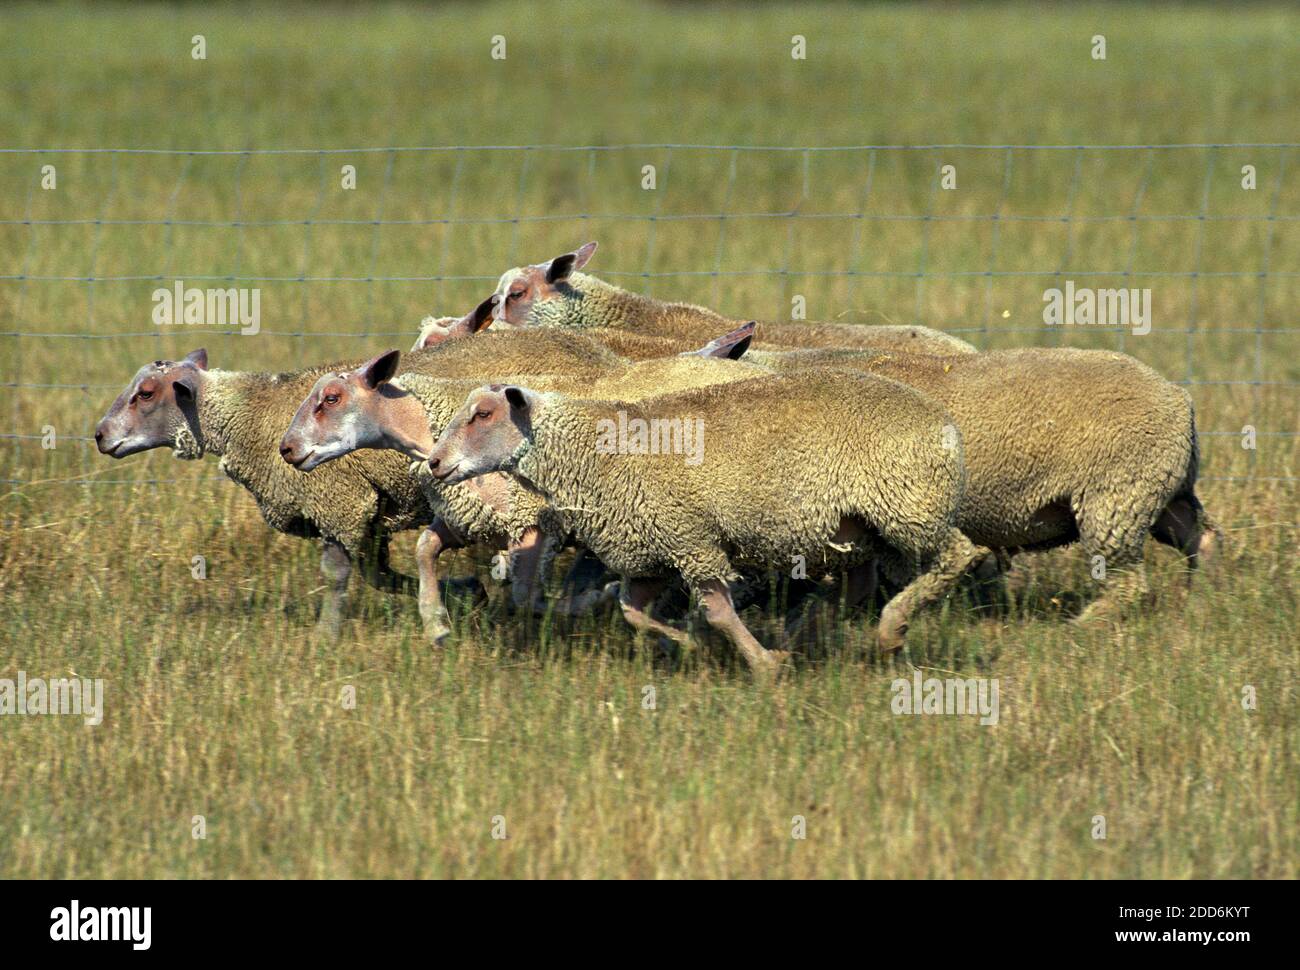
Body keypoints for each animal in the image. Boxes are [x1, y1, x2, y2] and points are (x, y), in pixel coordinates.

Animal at [278, 340, 774, 643]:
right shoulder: (472, 516)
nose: (287, 448)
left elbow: (527, 597)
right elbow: (424, 549)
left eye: (331, 399)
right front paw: (437, 623)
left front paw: (591, 602)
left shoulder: (534, 522)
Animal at [424, 374, 982, 674]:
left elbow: (717, 611)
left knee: (956, 557)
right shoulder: (652, 548)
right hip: (860, 528)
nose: (433, 463)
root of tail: (945, 423)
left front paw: (760, 663)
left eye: (483, 415)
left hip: (909, 505)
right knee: (862, 585)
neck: (593, 453)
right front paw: (688, 643)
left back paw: (889, 629)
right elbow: (631, 610)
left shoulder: (691, 538)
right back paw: (810, 634)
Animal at [751, 346, 1218, 622]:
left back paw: (1087, 624)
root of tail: (1180, 399)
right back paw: (1199, 601)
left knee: (1130, 583)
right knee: (1201, 538)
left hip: (1116, 498)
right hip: (1159, 494)